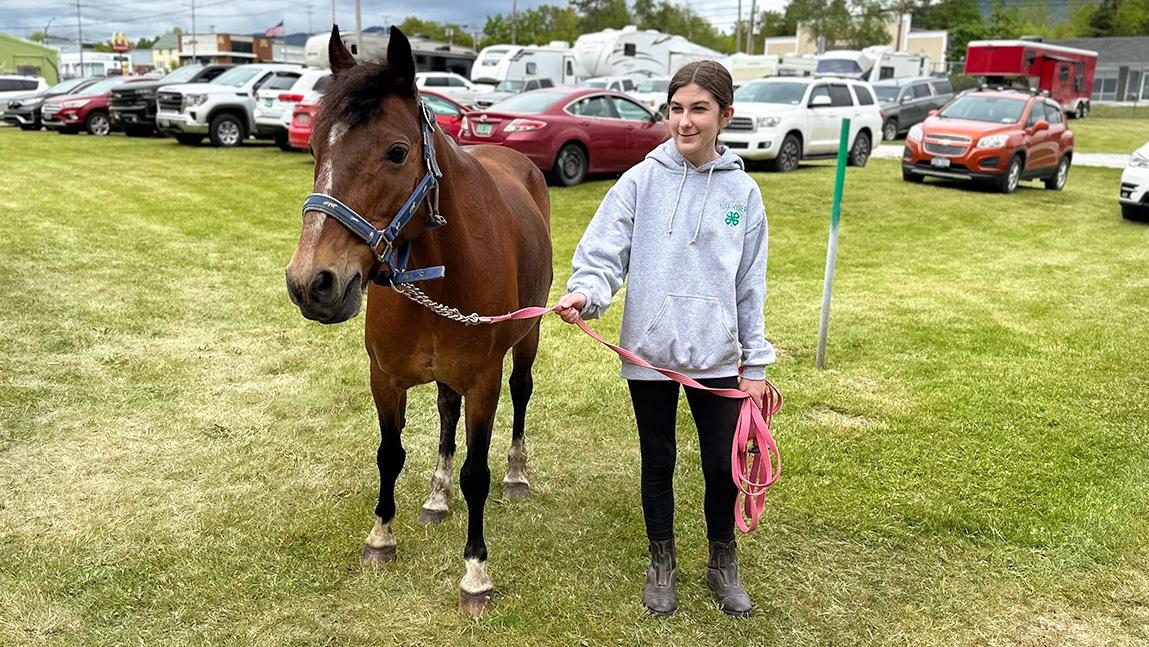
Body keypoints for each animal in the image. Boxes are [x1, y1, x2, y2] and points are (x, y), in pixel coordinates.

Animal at [284, 25, 553, 615]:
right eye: (314, 149)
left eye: (397, 152)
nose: (311, 283)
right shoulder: (385, 377)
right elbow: (389, 455)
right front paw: (381, 536)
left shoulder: (483, 381)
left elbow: (478, 473)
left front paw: (476, 573)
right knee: (445, 412)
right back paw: (436, 494)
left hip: (529, 336)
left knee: (522, 394)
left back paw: (516, 474)